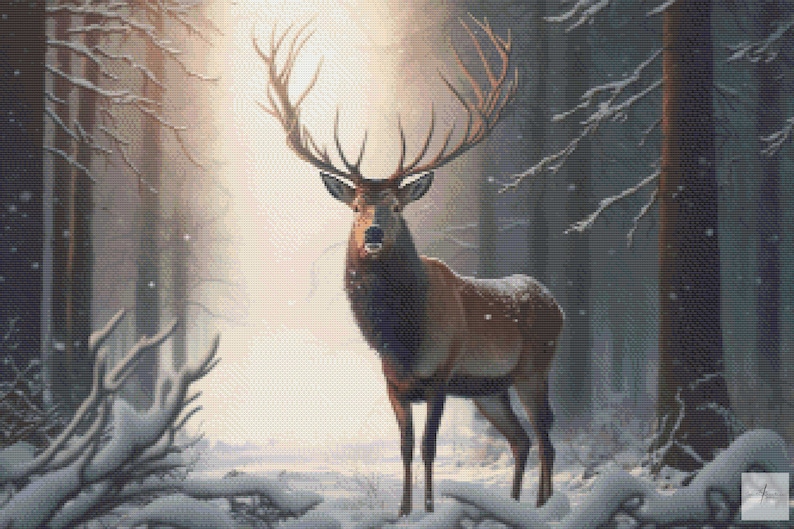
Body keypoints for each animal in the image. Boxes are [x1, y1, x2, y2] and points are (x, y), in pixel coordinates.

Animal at [254, 16, 563, 516]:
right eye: (356, 207)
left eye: (397, 207)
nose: (373, 234)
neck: (402, 337)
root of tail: (556, 303)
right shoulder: (393, 383)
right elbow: (403, 447)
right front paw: (402, 510)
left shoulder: (440, 374)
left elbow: (429, 447)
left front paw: (431, 509)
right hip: (489, 388)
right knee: (521, 440)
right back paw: (514, 504)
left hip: (535, 367)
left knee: (546, 437)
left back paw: (542, 507)